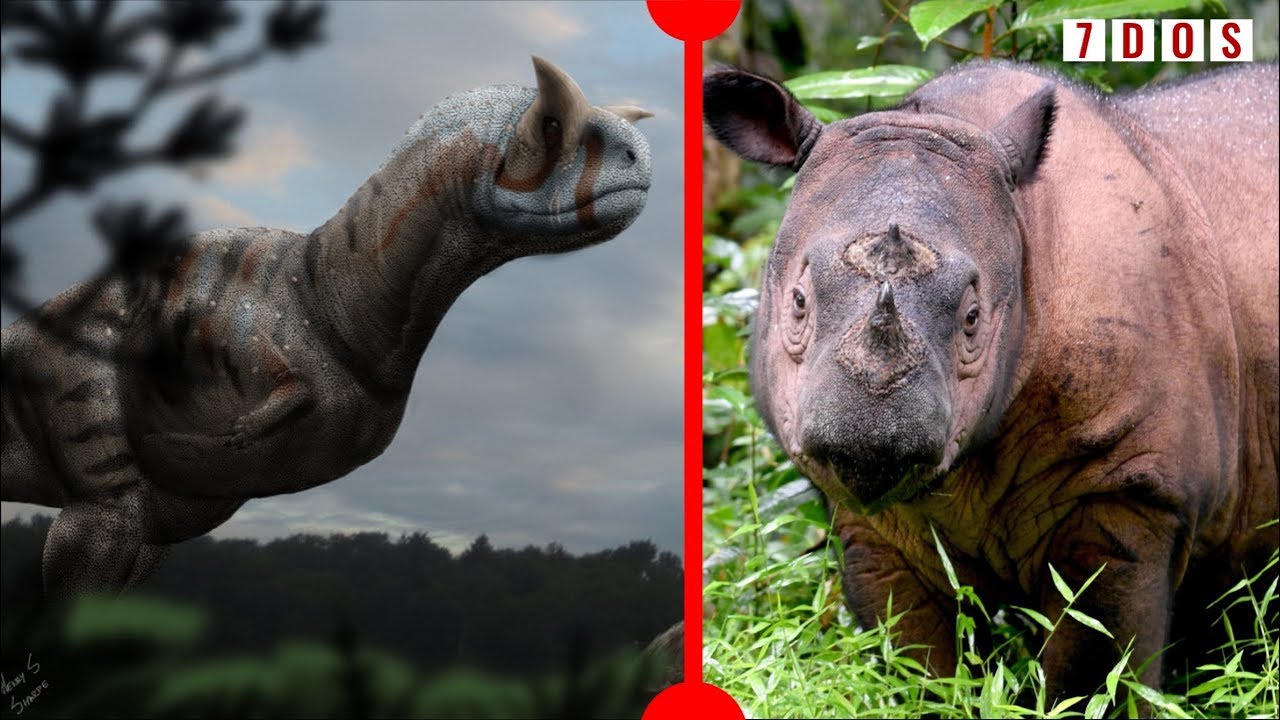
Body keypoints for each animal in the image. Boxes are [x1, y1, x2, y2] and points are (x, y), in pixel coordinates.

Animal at [704, 61, 1278, 700]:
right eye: (798, 303)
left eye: (974, 319)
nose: (870, 436)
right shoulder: (872, 524)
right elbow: (917, 663)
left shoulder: (1132, 490)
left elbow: (1097, 672)